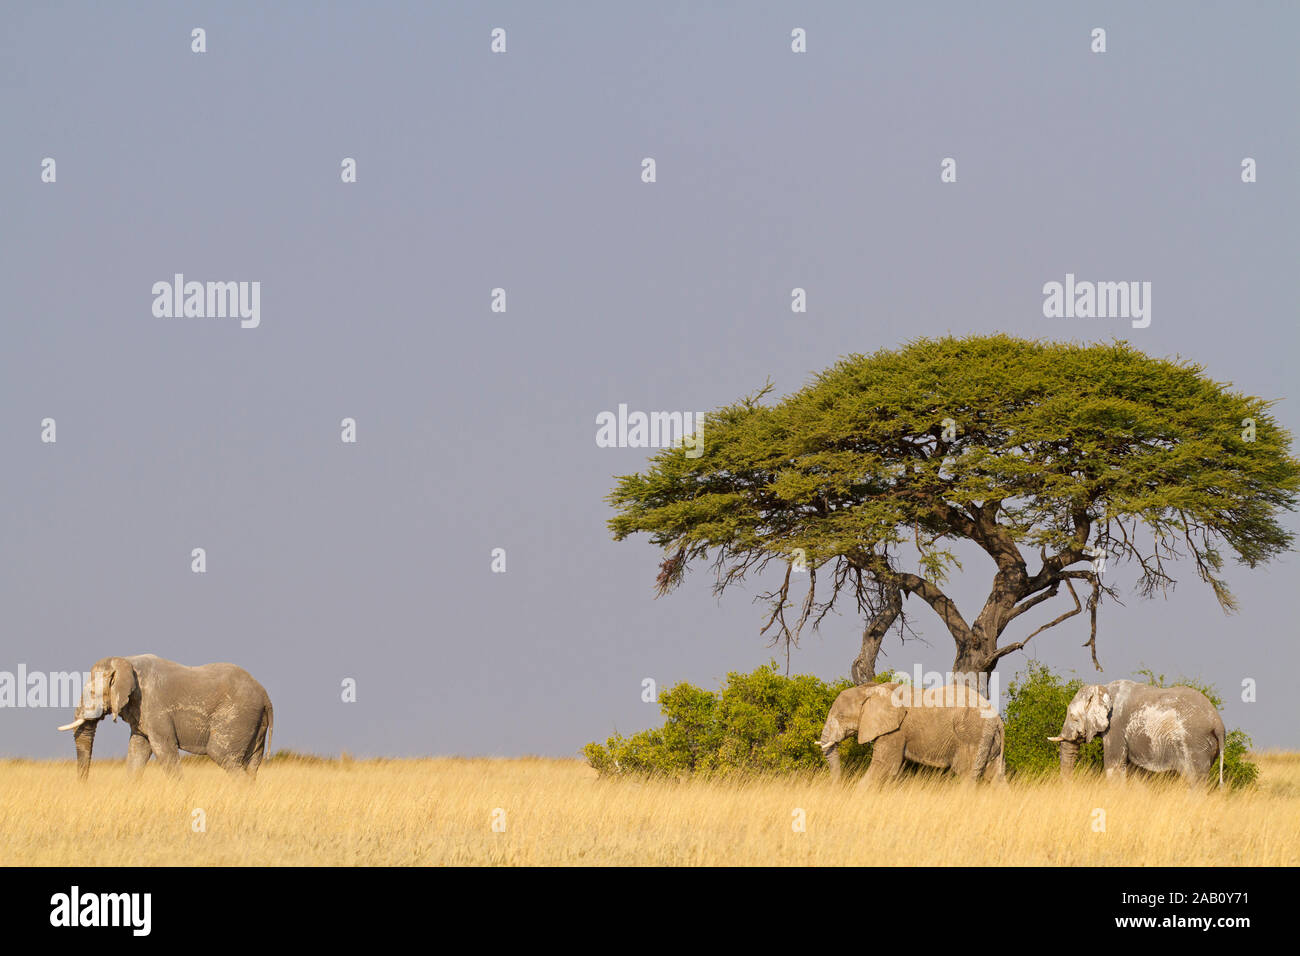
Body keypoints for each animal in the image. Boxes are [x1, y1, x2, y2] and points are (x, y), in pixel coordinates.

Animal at [57, 654, 273, 780]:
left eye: (92, 692)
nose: (84, 786)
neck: (126, 661)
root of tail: (265, 696)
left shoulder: (154, 707)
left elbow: (164, 749)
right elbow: (137, 750)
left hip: (237, 716)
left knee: (221, 753)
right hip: (254, 722)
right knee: (252, 765)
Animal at [816, 681, 1005, 785]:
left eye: (841, 716)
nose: (838, 784)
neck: (870, 689)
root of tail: (998, 719)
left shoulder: (895, 731)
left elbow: (884, 766)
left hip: (973, 735)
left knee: (967, 775)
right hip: (989, 740)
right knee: (996, 777)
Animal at [1049, 680, 1225, 787]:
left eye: (1073, 717)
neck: (1103, 688)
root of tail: (1218, 723)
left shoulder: (1115, 728)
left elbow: (1114, 767)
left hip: (1194, 744)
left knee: (1195, 781)